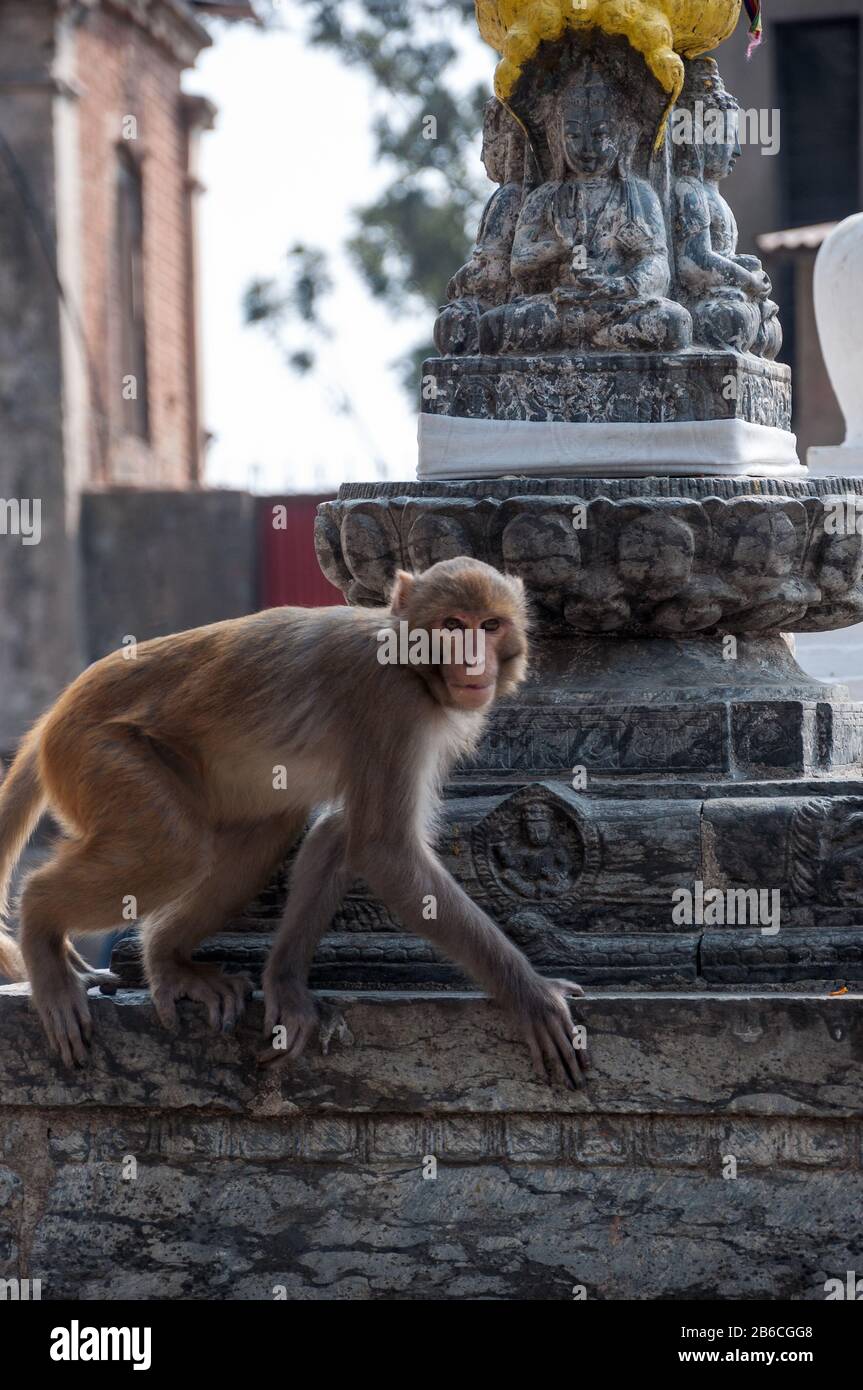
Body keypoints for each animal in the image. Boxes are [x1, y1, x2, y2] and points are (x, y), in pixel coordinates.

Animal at [0, 556, 587, 1088]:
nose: (473, 662)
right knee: (175, 850)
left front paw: (283, 985)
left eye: (489, 626)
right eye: (452, 625)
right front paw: (531, 995)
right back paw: (42, 930)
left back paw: (168, 961)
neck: (411, 664)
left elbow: (340, 836)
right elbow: (385, 850)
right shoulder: (391, 706)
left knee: (265, 831)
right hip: (98, 755)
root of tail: (54, 717)